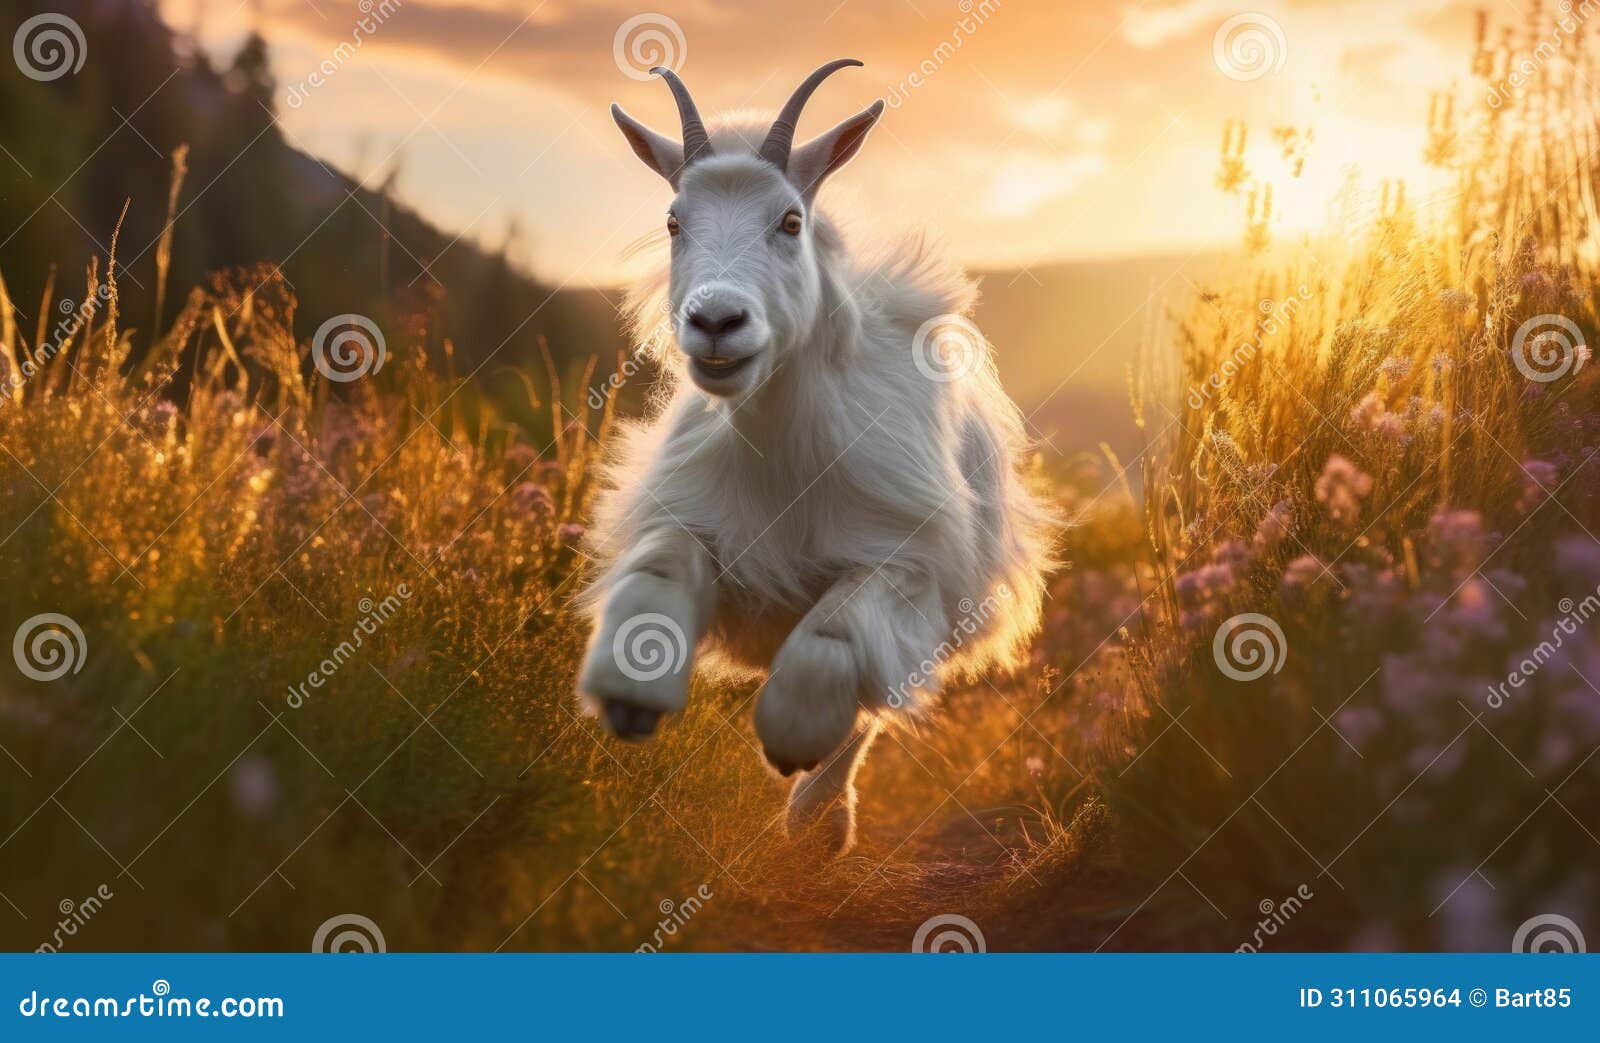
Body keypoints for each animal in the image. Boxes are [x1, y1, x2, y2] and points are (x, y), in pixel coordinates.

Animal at [576, 60, 1055, 854]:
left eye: (790, 221)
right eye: (675, 221)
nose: (716, 322)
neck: (783, 455)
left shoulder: (908, 561)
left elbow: (837, 633)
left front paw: (793, 741)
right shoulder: (704, 523)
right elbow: (662, 563)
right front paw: (629, 693)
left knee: (875, 704)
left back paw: (820, 818)